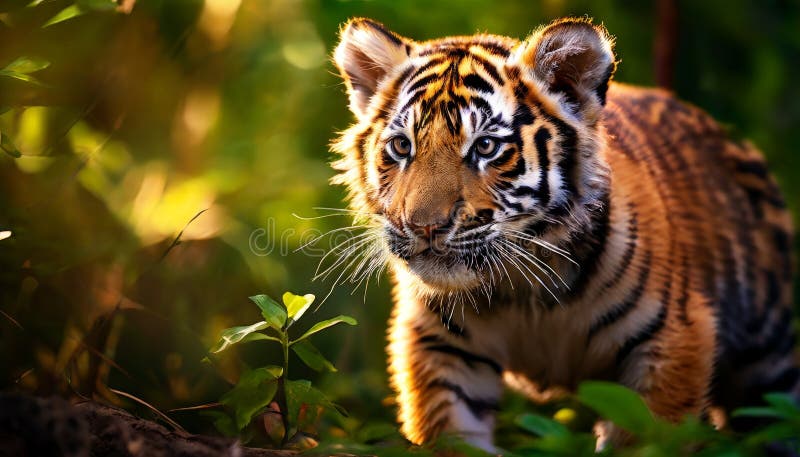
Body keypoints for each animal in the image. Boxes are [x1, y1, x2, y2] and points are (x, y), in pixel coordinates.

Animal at [330, 16, 797, 451]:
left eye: (485, 147)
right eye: (402, 147)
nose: (425, 226)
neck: (520, 291)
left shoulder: (670, 345)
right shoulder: (442, 350)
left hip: (770, 358)